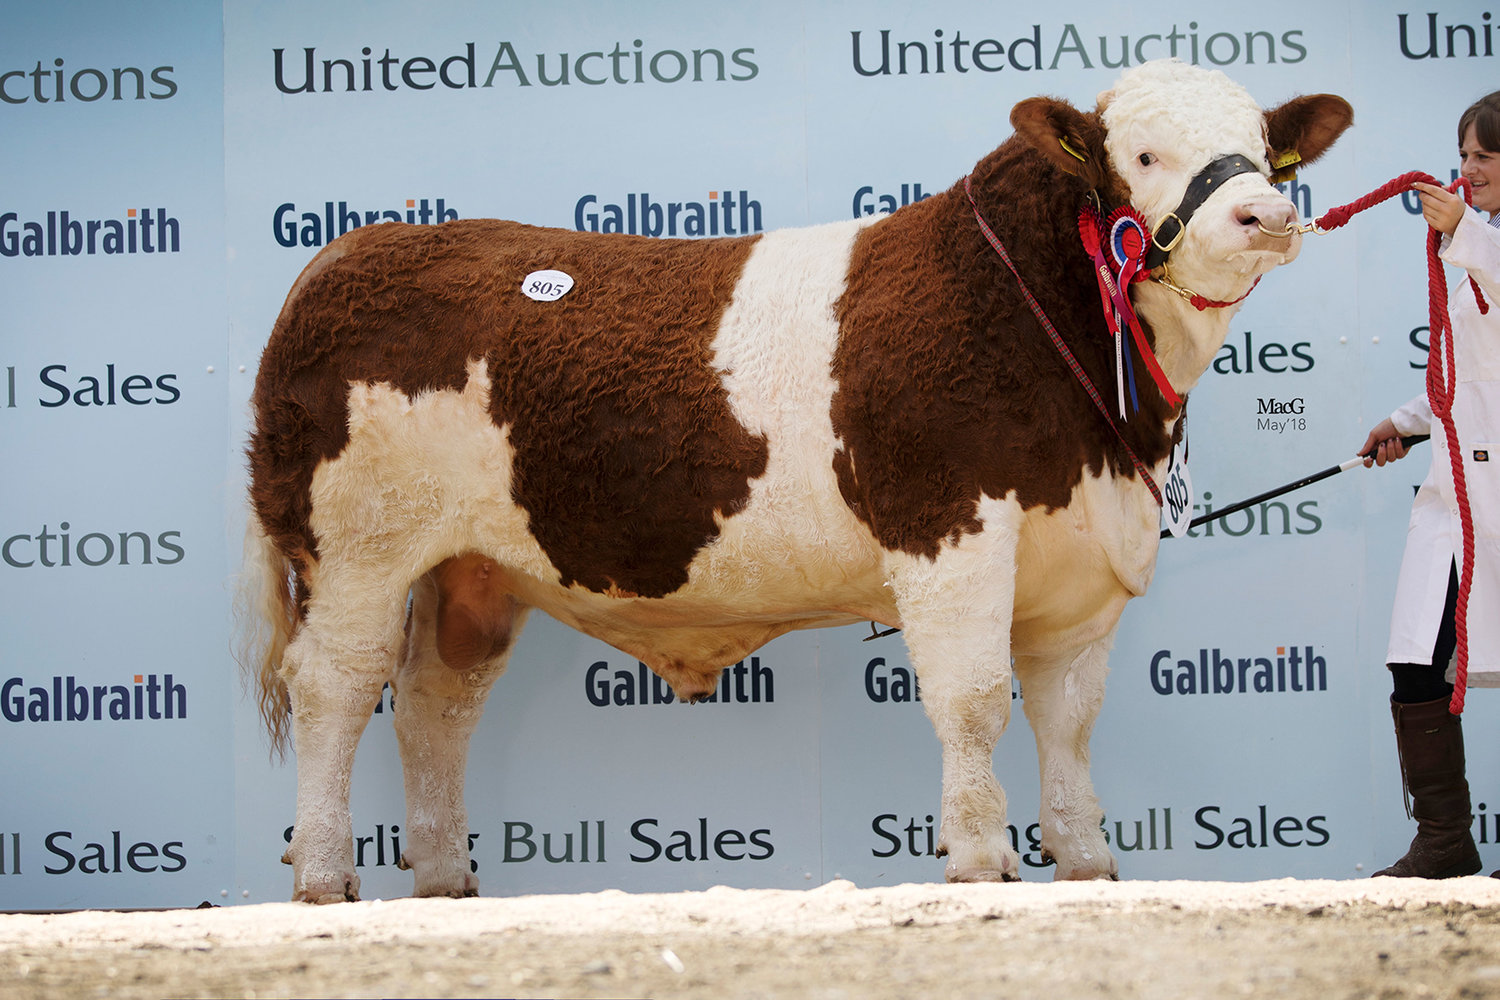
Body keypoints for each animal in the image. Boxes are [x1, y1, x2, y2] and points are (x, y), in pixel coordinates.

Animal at [241, 59, 1353, 902]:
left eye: (1263, 144)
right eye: (1144, 154)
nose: (1263, 212)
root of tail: (357, 247)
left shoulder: (1081, 566)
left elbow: (1068, 720)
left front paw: (1086, 868)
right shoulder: (950, 532)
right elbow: (975, 702)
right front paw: (982, 862)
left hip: (468, 570)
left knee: (435, 703)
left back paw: (445, 882)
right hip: (356, 548)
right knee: (337, 687)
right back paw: (326, 878)